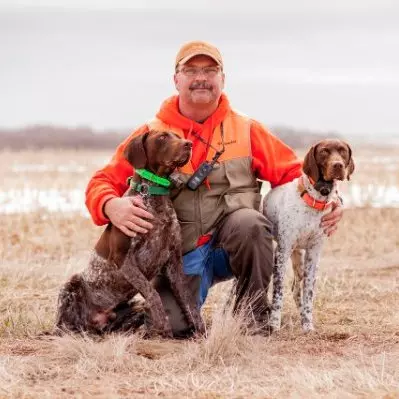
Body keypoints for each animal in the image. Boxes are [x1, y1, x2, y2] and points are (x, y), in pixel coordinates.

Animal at [55, 131, 205, 338]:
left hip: (130, 310)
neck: (153, 195)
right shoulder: (123, 259)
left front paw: (201, 331)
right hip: (71, 285)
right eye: (162, 137)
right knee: (63, 326)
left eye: (177, 136)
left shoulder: (174, 263)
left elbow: (188, 300)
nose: (188, 144)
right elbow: (153, 293)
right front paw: (164, 327)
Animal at [264, 139, 354, 332]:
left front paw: (307, 324)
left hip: (299, 258)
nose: (338, 165)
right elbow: (278, 292)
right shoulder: (282, 252)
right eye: (324, 151)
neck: (315, 200)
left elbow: (308, 293)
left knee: (297, 289)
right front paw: (274, 324)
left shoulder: (313, 254)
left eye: (342, 151)